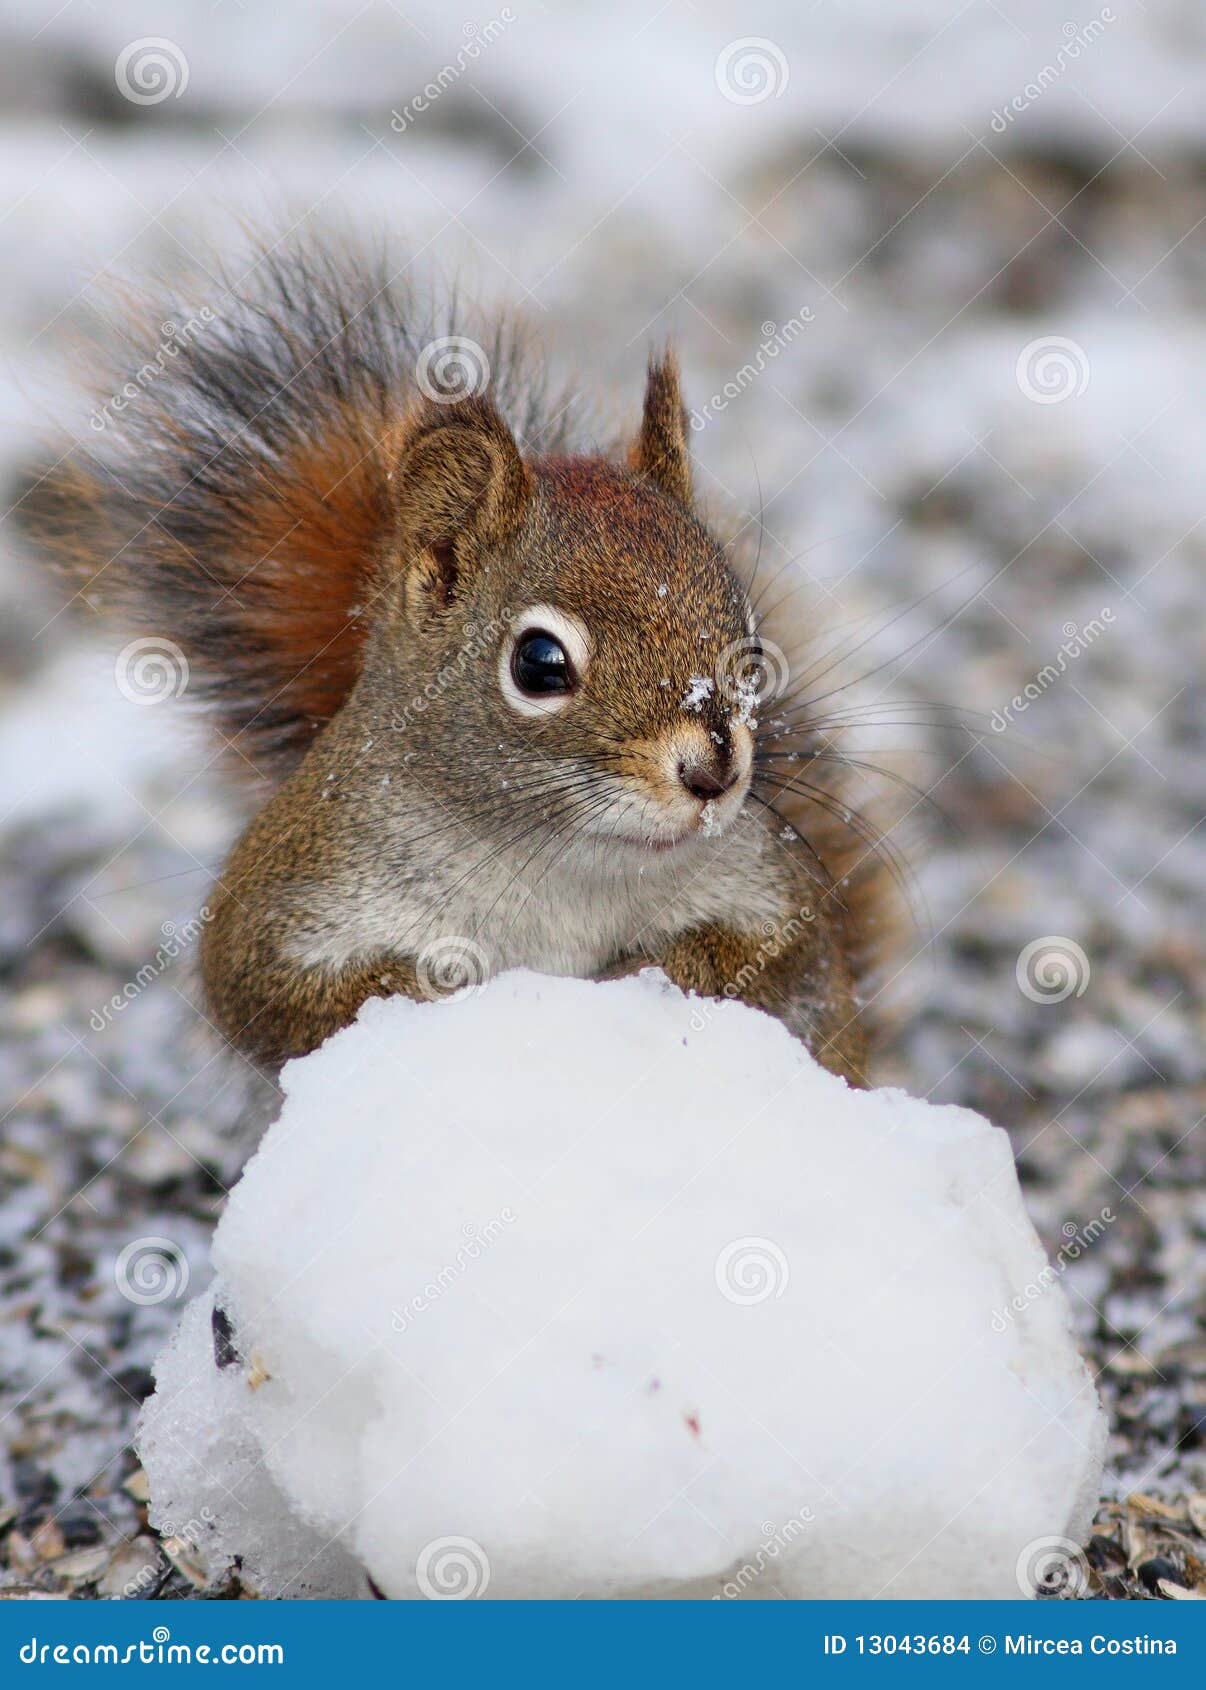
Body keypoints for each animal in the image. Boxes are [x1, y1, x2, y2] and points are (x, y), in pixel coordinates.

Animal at [25, 242, 890, 1086]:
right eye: (539, 664)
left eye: (752, 647)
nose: (715, 773)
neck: (557, 863)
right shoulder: (282, 905)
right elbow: (269, 995)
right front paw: (434, 987)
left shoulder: (781, 893)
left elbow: (781, 958)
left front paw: (649, 974)